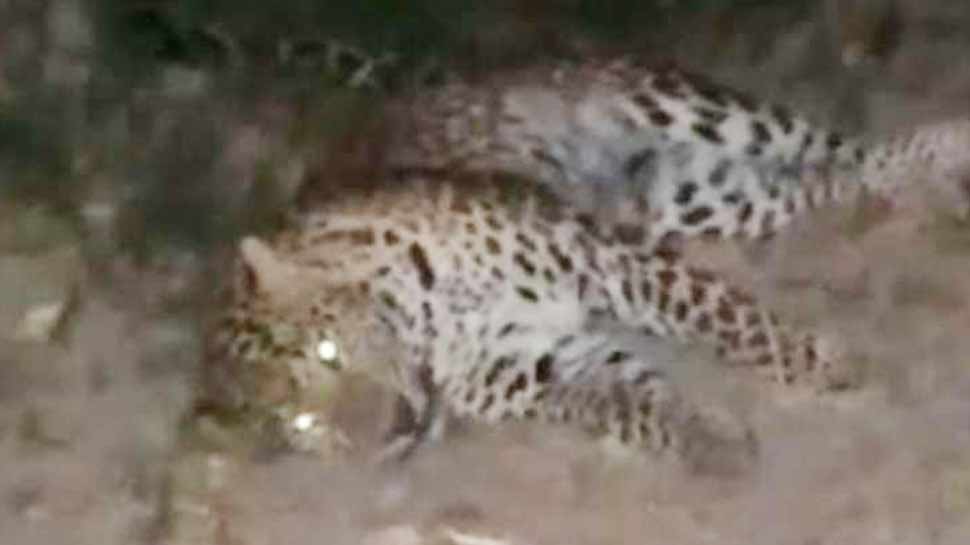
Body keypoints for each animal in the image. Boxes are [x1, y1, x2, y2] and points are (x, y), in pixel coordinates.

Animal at [202, 171, 854, 471]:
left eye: (329, 352)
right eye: (306, 426)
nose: (391, 434)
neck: (435, 320)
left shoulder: (603, 262)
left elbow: (717, 312)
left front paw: (822, 368)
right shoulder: (537, 369)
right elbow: (634, 406)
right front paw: (714, 443)